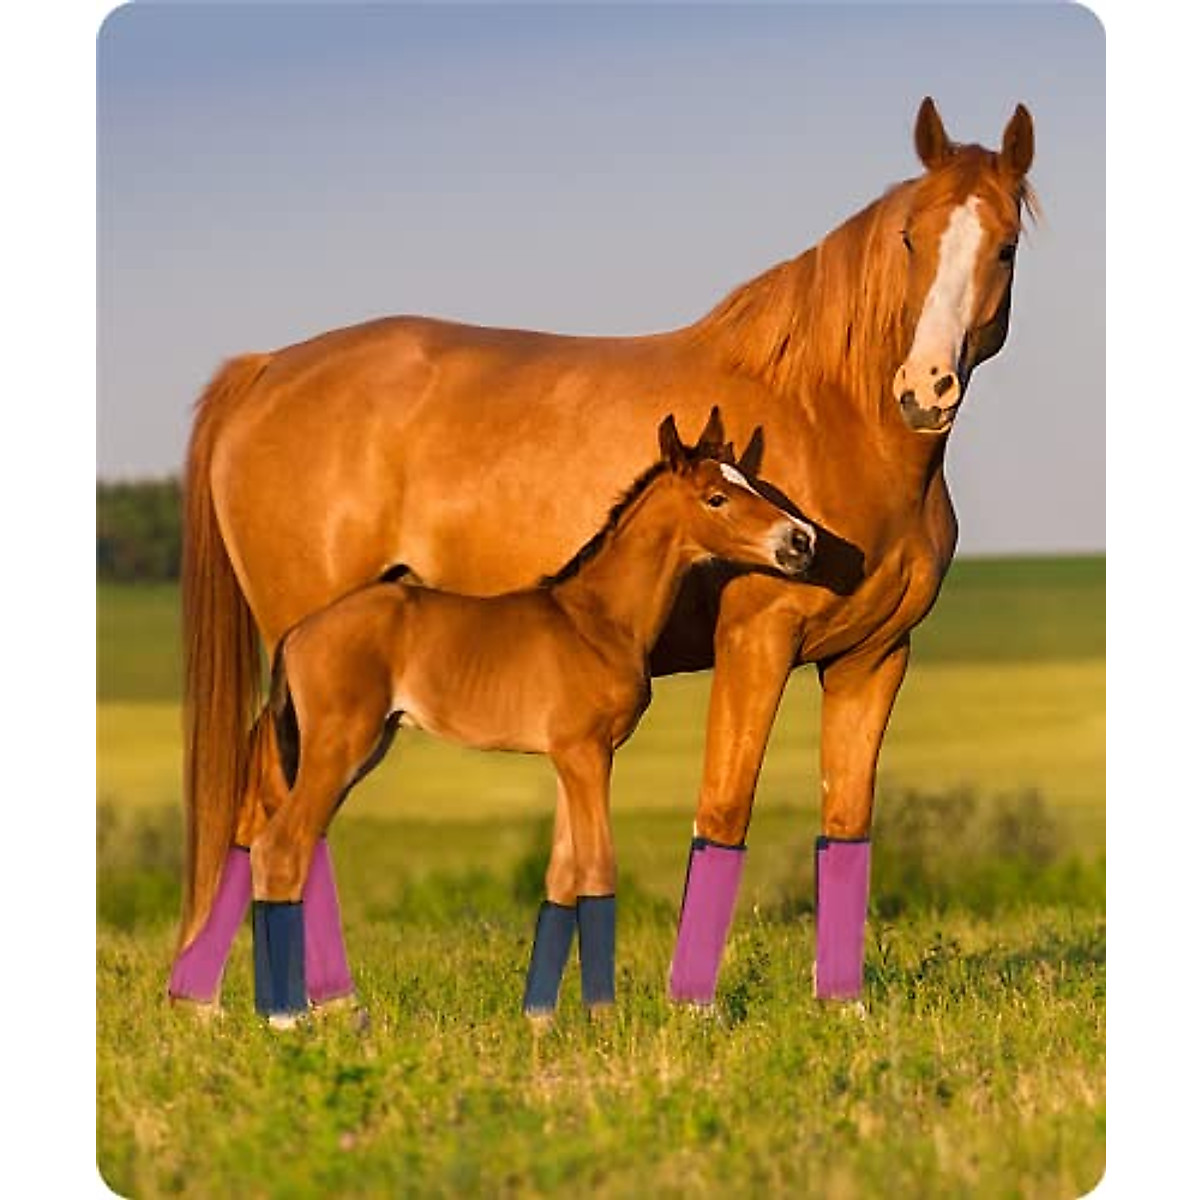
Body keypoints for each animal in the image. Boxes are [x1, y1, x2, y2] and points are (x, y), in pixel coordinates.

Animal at [241, 411, 814, 1024]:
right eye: (716, 498)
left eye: (753, 484)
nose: (801, 541)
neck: (598, 620)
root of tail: (298, 633)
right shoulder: (587, 754)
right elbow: (596, 869)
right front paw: (603, 1017)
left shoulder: (568, 760)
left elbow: (561, 875)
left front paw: (541, 1019)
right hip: (339, 748)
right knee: (279, 848)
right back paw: (286, 1017)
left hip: (360, 751)